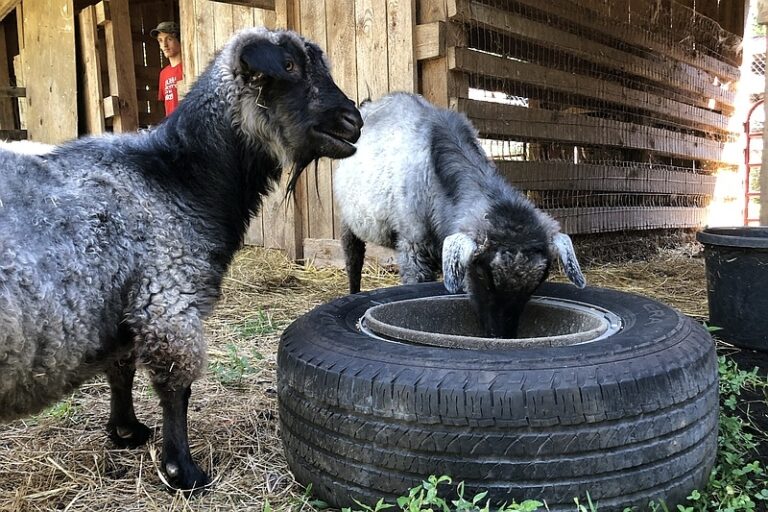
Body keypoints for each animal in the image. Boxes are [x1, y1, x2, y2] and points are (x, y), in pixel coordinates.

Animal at [0, 27, 362, 493]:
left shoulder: (128, 304)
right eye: (289, 66)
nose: (354, 121)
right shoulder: (167, 298)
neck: (180, 176)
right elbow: (176, 388)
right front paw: (182, 470)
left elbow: (121, 369)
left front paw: (126, 431)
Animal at [333, 92, 583, 338]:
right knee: (353, 259)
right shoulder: (414, 248)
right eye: (484, 276)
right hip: (347, 222)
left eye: (537, 283)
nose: (501, 334)